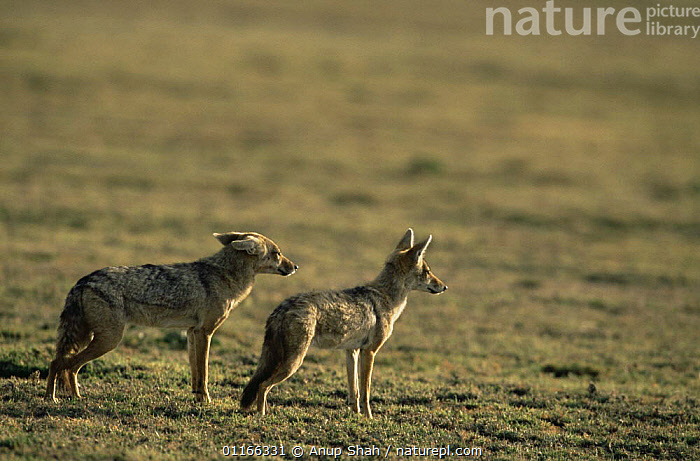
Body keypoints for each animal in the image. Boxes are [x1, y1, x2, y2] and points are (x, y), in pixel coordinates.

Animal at [45, 232, 298, 403]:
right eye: (277, 254)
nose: (295, 266)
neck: (226, 276)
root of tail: (84, 280)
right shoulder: (205, 333)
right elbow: (204, 372)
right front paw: (206, 400)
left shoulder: (191, 332)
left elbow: (196, 372)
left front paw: (197, 398)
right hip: (109, 340)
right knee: (61, 363)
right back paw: (53, 398)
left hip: (92, 338)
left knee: (65, 364)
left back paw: (73, 396)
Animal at [239, 229, 447, 418]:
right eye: (428, 272)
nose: (444, 286)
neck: (386, 298)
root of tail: (281, 307)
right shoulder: (369, 352)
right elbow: (366, 392)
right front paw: (369, 418)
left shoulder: (352, 351)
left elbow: (354, 391)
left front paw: (356, 415)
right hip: (294, 362)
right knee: (263, 386)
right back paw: (262, 415)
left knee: (261, 385)